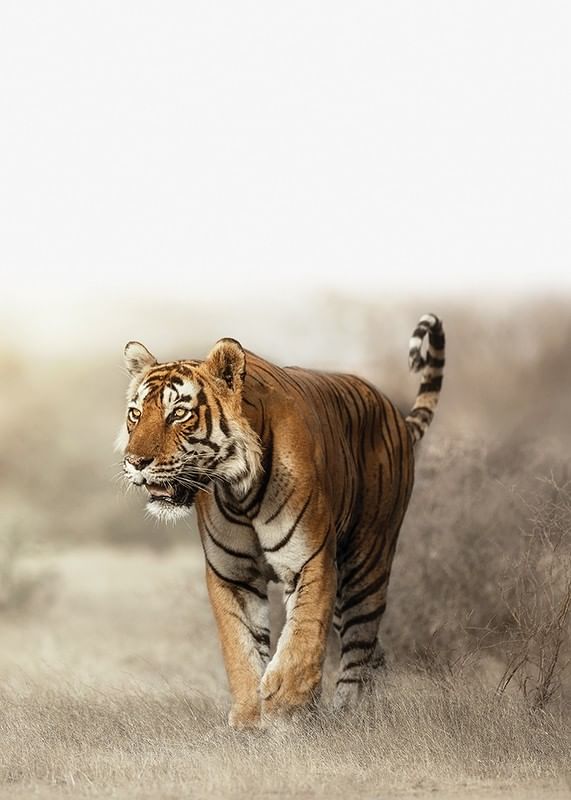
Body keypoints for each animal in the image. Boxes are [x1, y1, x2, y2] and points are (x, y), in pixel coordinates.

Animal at [117, 313, 445, 728]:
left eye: (179, 413)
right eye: (136, 413)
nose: (135, 462)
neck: (238, 490)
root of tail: (396, 415)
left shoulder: (310, 561)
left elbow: (303, 636)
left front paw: (285, 705)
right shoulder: (233, 575)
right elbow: (240, 647)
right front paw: (248, 717)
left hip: (366, 563)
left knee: (359, 645)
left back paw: (348, 713)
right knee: (373, 649)